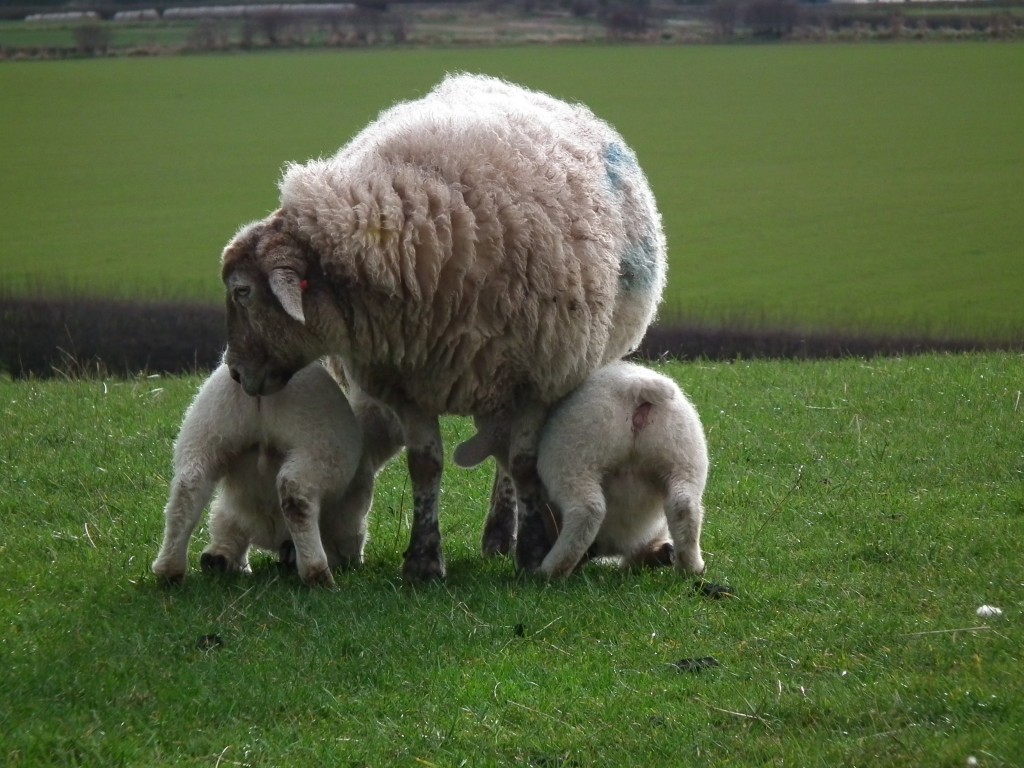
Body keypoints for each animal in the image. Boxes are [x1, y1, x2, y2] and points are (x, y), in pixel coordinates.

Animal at [151, 361, 371, 587]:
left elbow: (224, 520)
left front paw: (221, 559)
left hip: (206, 429)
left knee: (187, 491)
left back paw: (169, 569)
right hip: (317, 442)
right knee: (296, 494)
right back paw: (317, 572)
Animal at [219, 73, 667, 581]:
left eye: (242, 291)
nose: (236, 372)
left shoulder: (537, 377)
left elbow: (524, 463)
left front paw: (533, 551)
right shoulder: (407, 381)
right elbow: (425, 466)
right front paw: (423, 560)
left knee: (509, 464)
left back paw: (505, 535)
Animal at [455, 361, 708, 578]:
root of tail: (636, 389)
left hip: (575, 460)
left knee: (587, 511)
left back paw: (551, 570)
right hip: (684, 456)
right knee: (684, 505)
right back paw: (688, 565)